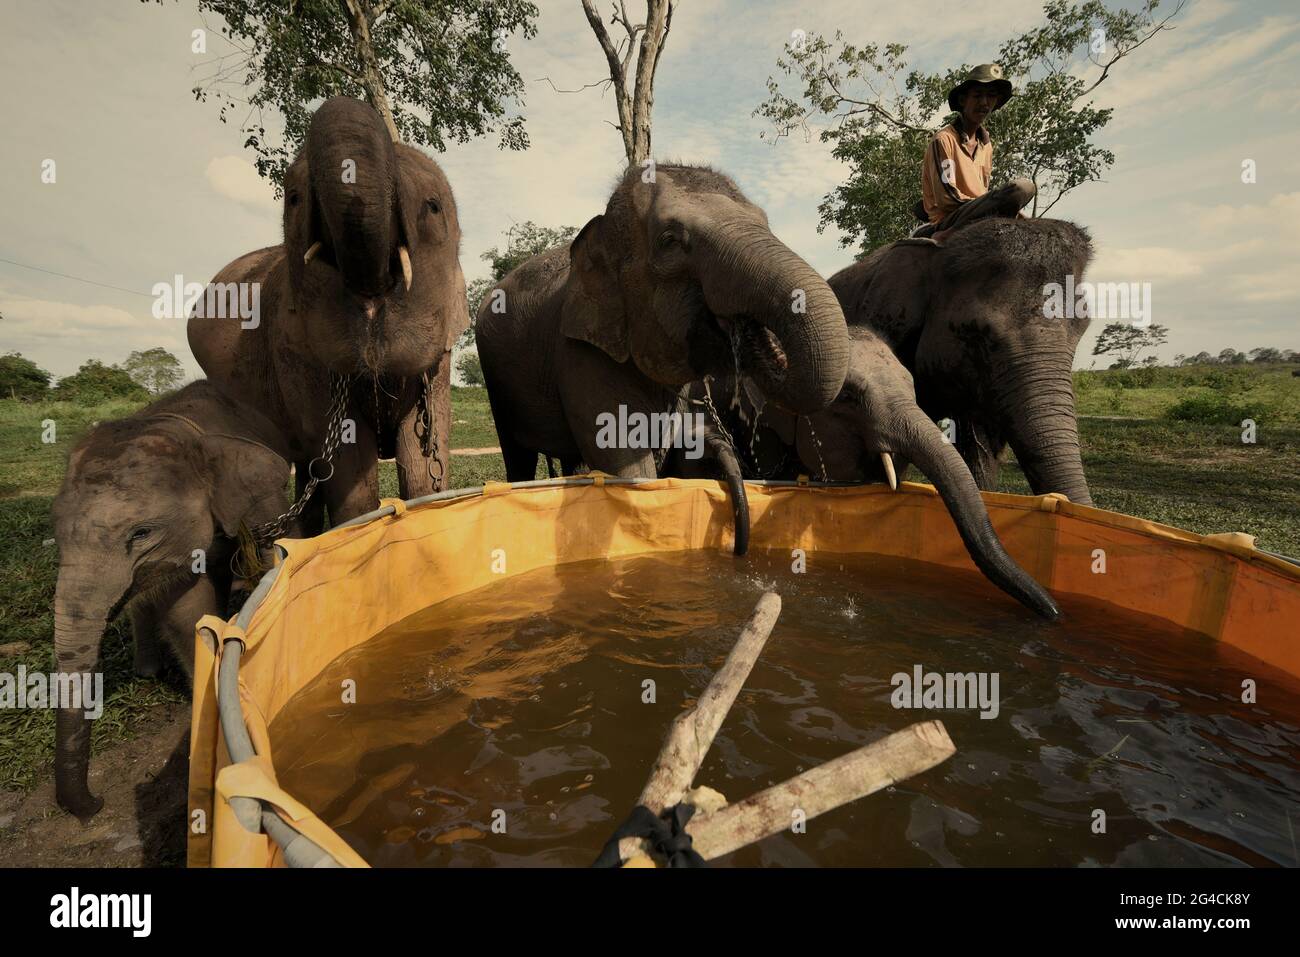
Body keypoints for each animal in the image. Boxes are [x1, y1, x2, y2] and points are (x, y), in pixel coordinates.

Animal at [50, 381, 291, 820]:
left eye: (141, 533)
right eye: (56, 533)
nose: (95, 803)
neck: (182, 433)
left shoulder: (261, 494)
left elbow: (277, 551)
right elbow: (185, 609)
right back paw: (148, 670)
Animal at [189, 96, 469, 531]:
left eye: (434, 207)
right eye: (294, 200)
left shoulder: (440, 357)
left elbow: (421, 455)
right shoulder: (294, 348)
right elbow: (349, 458)